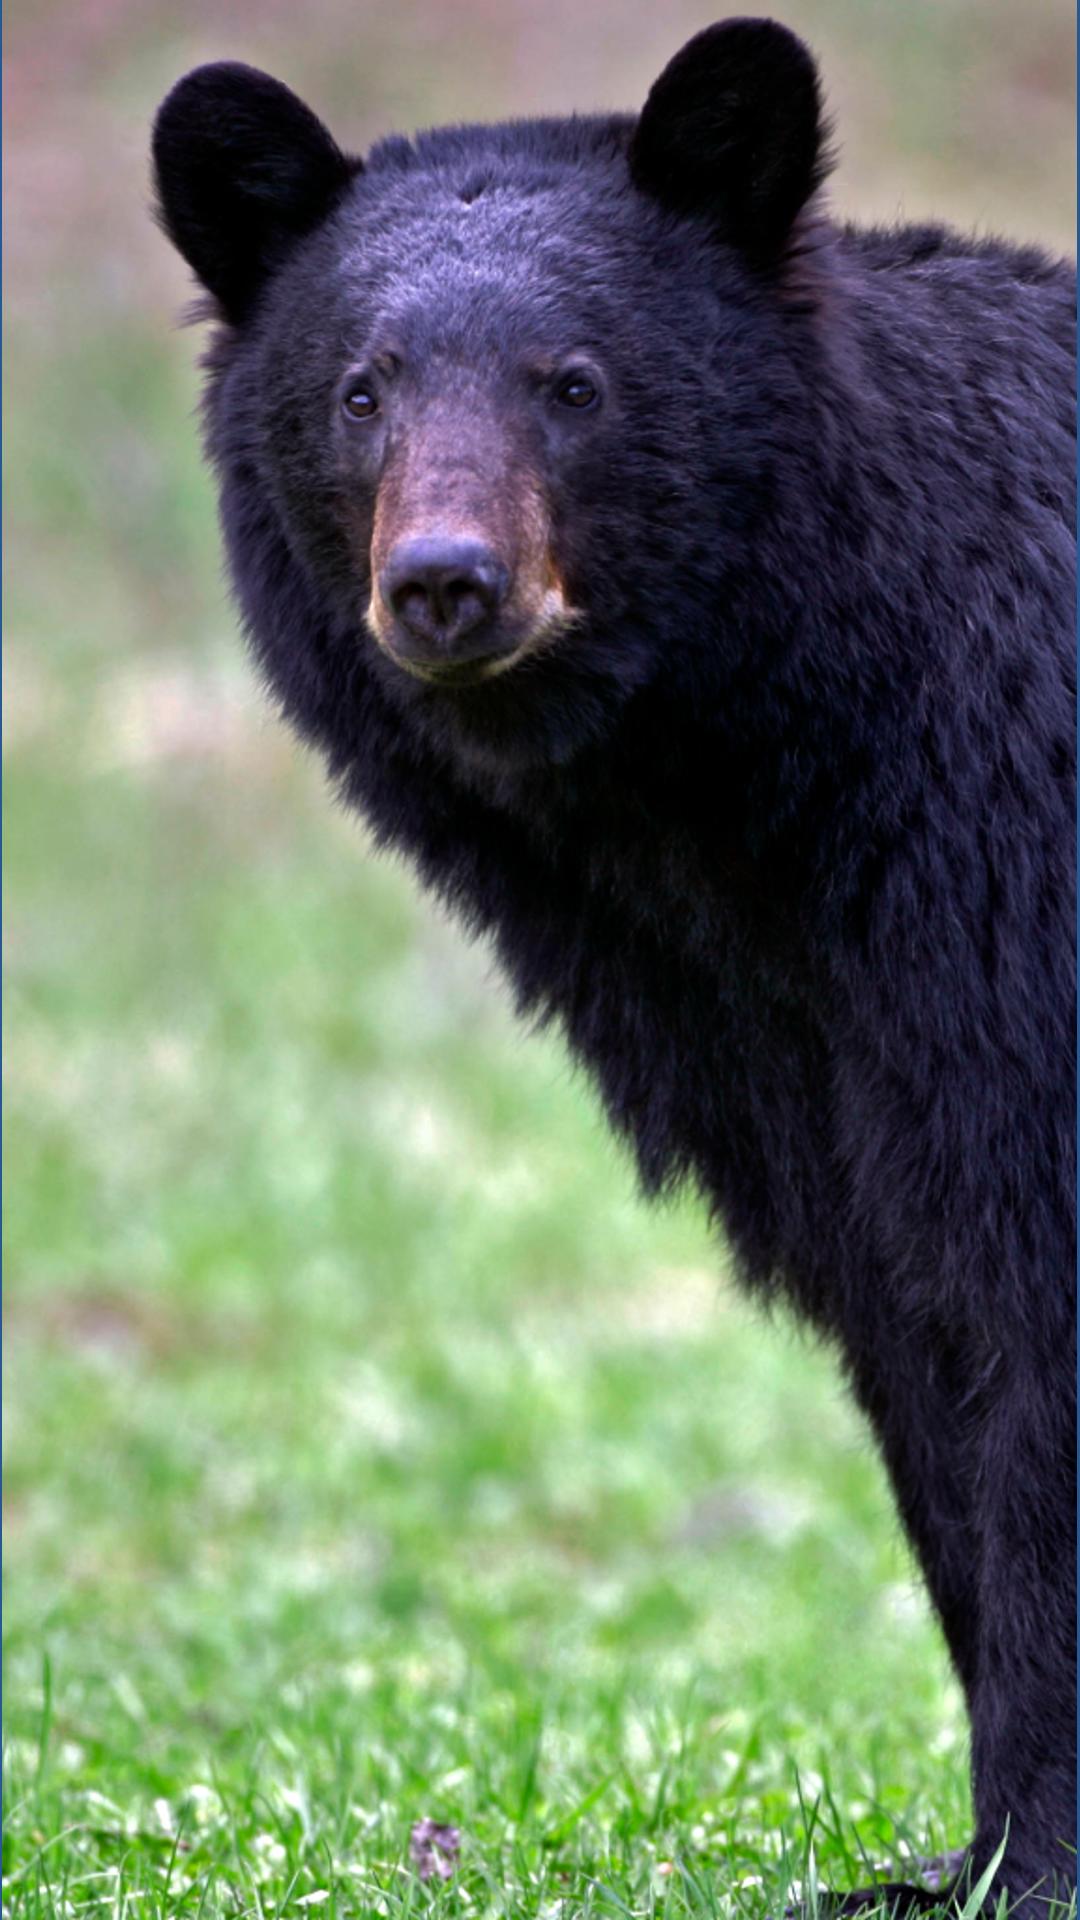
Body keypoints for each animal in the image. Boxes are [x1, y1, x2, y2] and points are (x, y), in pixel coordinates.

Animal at [151, 18, 1076, 1912]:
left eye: (572, 383)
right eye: (361, 389)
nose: (445, 584)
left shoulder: (1015, 904)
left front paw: (1038, 1855)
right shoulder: (789, 1040)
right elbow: (916, 1333)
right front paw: (947, 1860)